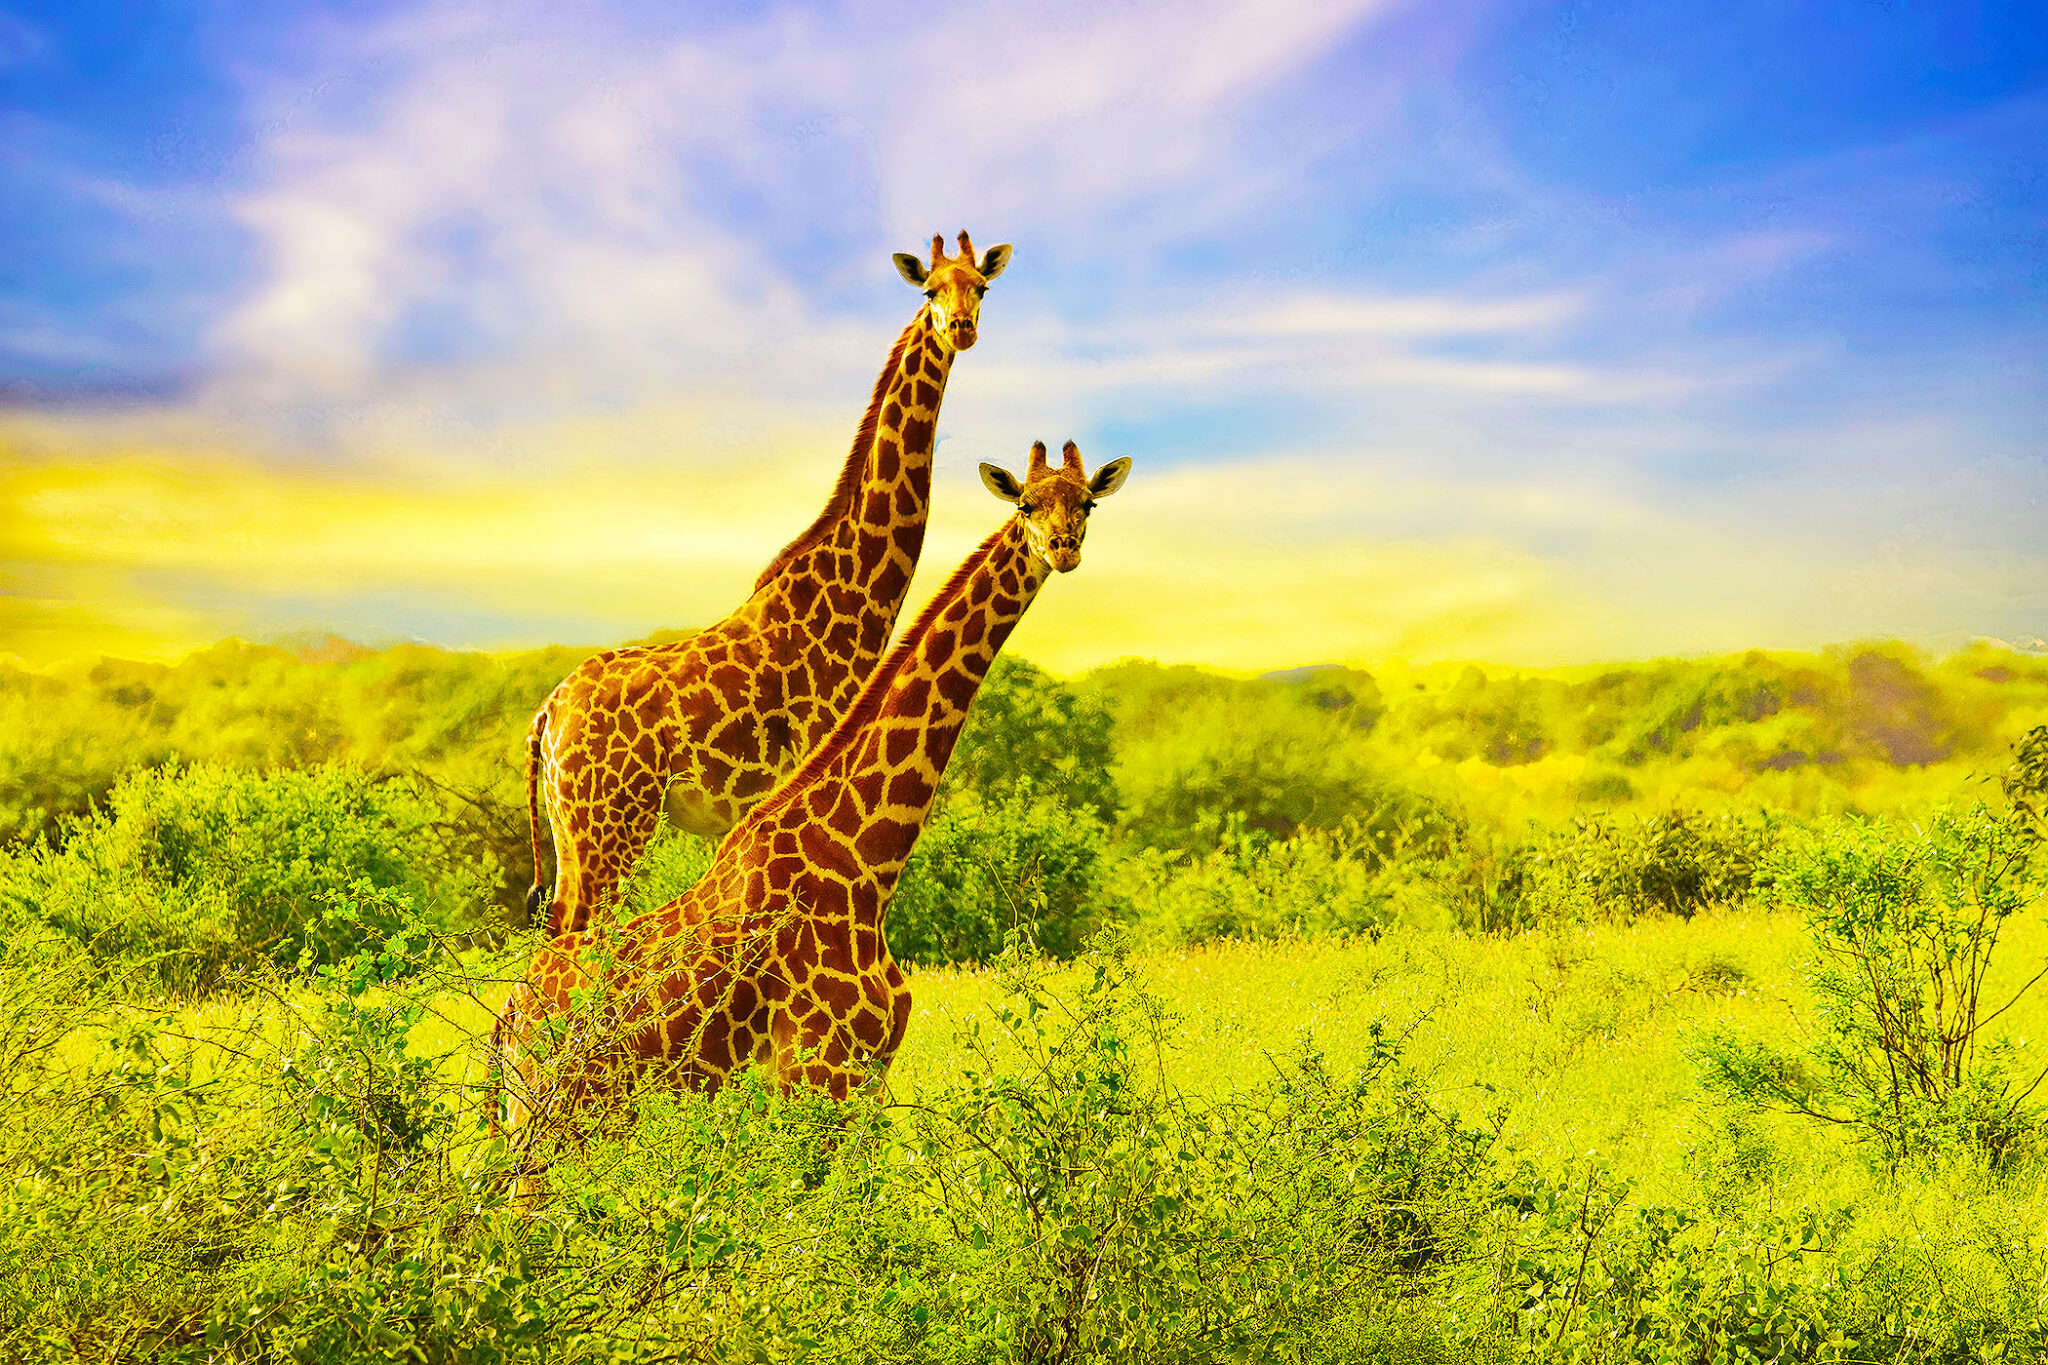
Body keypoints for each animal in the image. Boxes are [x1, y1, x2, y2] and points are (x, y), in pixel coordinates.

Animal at [492, 441, 1132, 1166]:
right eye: (1027, 503)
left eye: (1087, 502)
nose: (1062, 548)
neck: (865, 853)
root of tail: (507, 1025)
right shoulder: (817, 1072)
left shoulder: (867, 1077)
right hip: (555, 1121)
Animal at [524, 231, 1012, 939]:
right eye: (930, 290)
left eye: (981, 287)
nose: (961, 328)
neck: (850, 591)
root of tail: (548, 716)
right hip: (608, 824)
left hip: (573, 828)